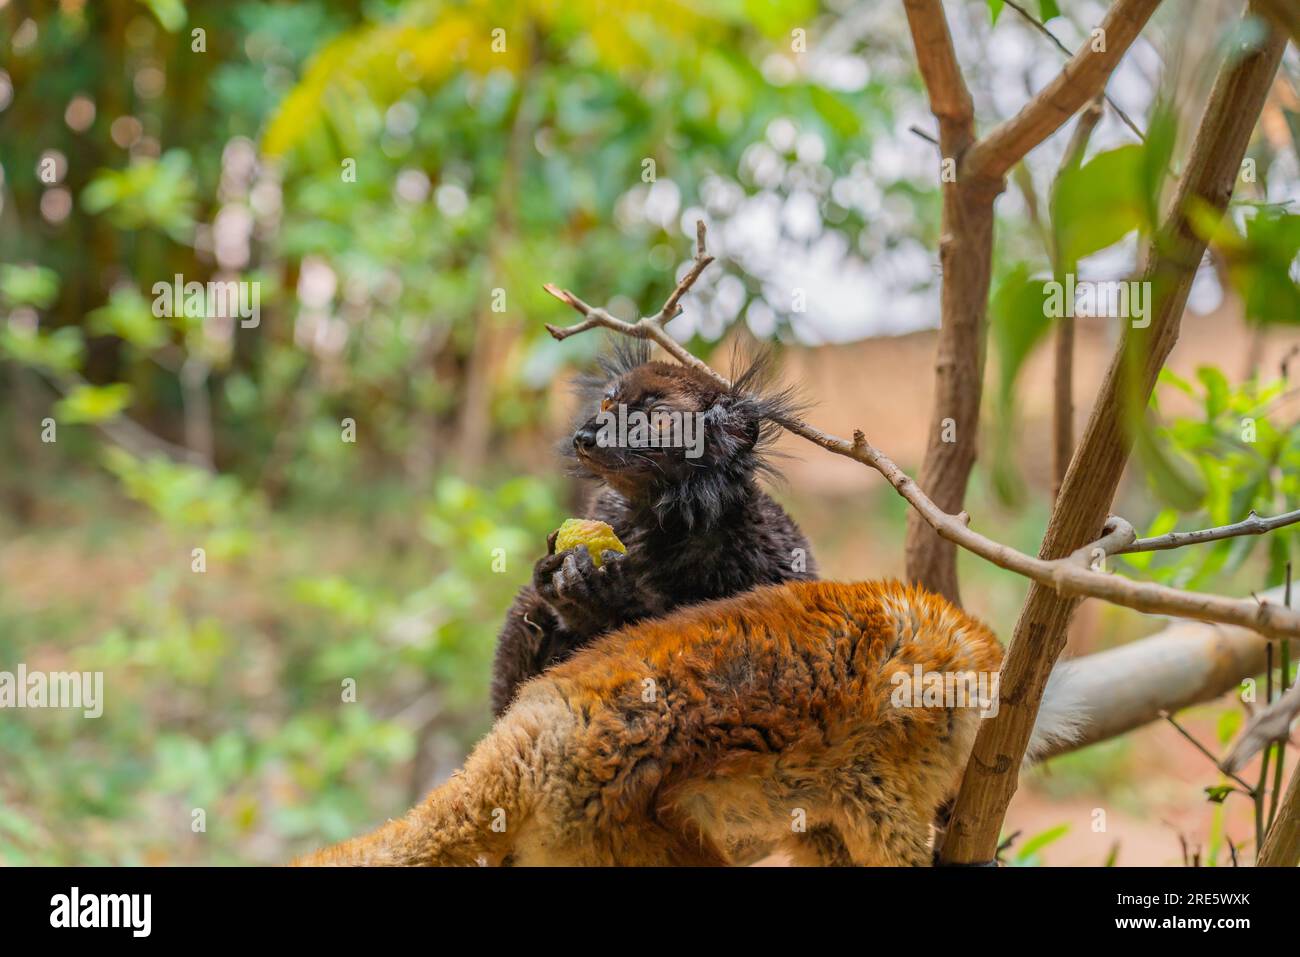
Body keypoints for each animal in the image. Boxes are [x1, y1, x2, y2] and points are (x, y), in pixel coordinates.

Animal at [489, 341, 818, 718]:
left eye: (658, 420)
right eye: (607, 403)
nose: (585, 437)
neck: (656, 517)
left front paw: (599, 594)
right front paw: (566, 586)